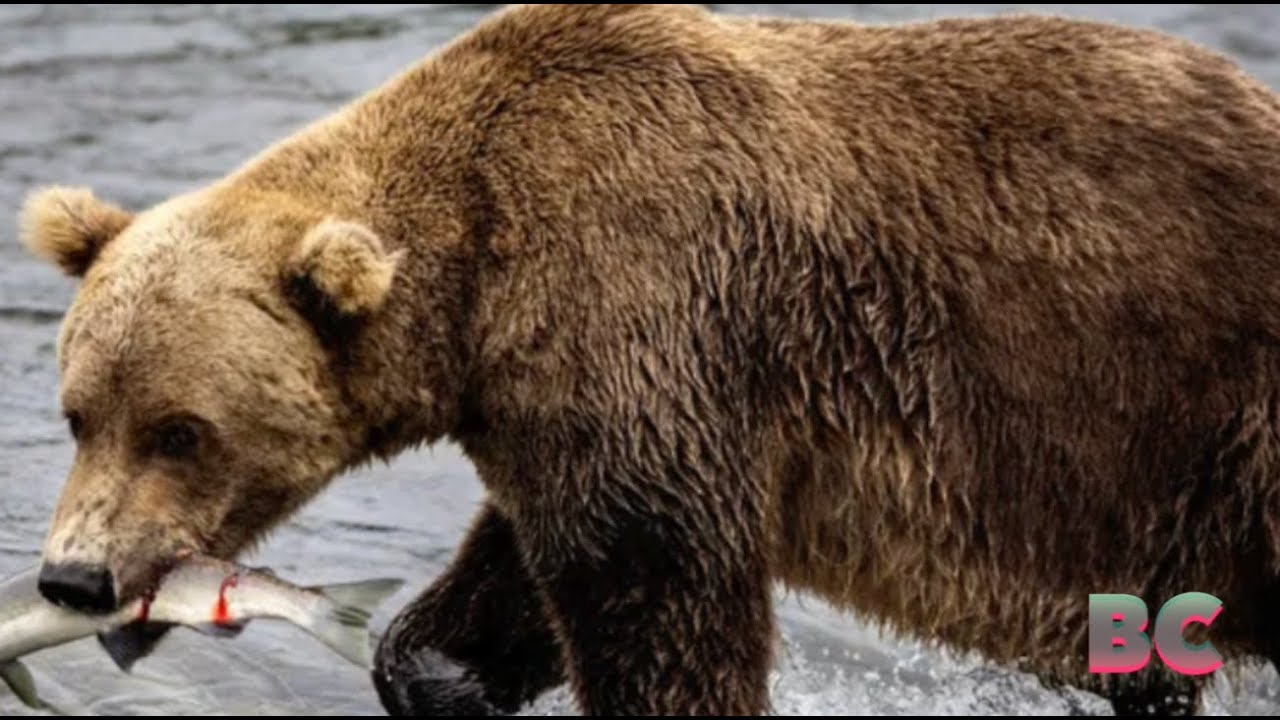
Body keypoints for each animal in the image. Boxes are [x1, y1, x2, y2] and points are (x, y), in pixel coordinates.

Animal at [14, 2, 1280, 715]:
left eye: (180, 429)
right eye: (79, 413)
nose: (73, 577)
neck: (481, 268)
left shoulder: (652, 301)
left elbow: (661, 599)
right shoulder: (563, 396)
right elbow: (522, 576)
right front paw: (442, 673)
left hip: (1210, 422)